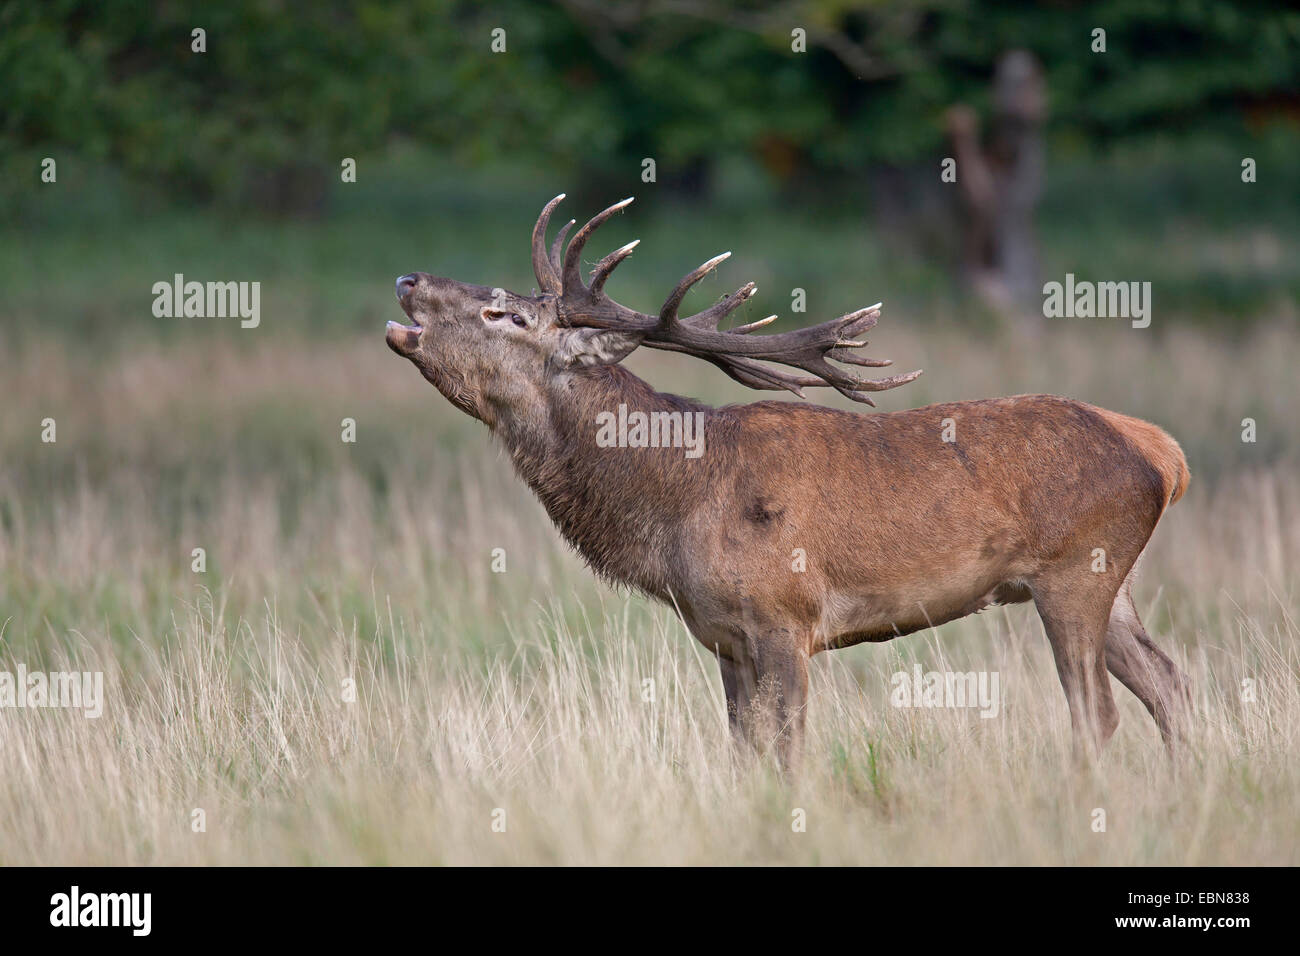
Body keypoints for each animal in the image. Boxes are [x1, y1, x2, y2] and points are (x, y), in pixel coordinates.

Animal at [386, 194, 1193, 769]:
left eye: (506, 314)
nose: (406, 278)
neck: (672, 507)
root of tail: (1161, 452)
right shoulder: (723, 639)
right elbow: (744, 756)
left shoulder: (787, 618)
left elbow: (788, 753)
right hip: (1110, 580)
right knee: (1169, 682)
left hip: (1075, 570)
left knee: (1098, 712)